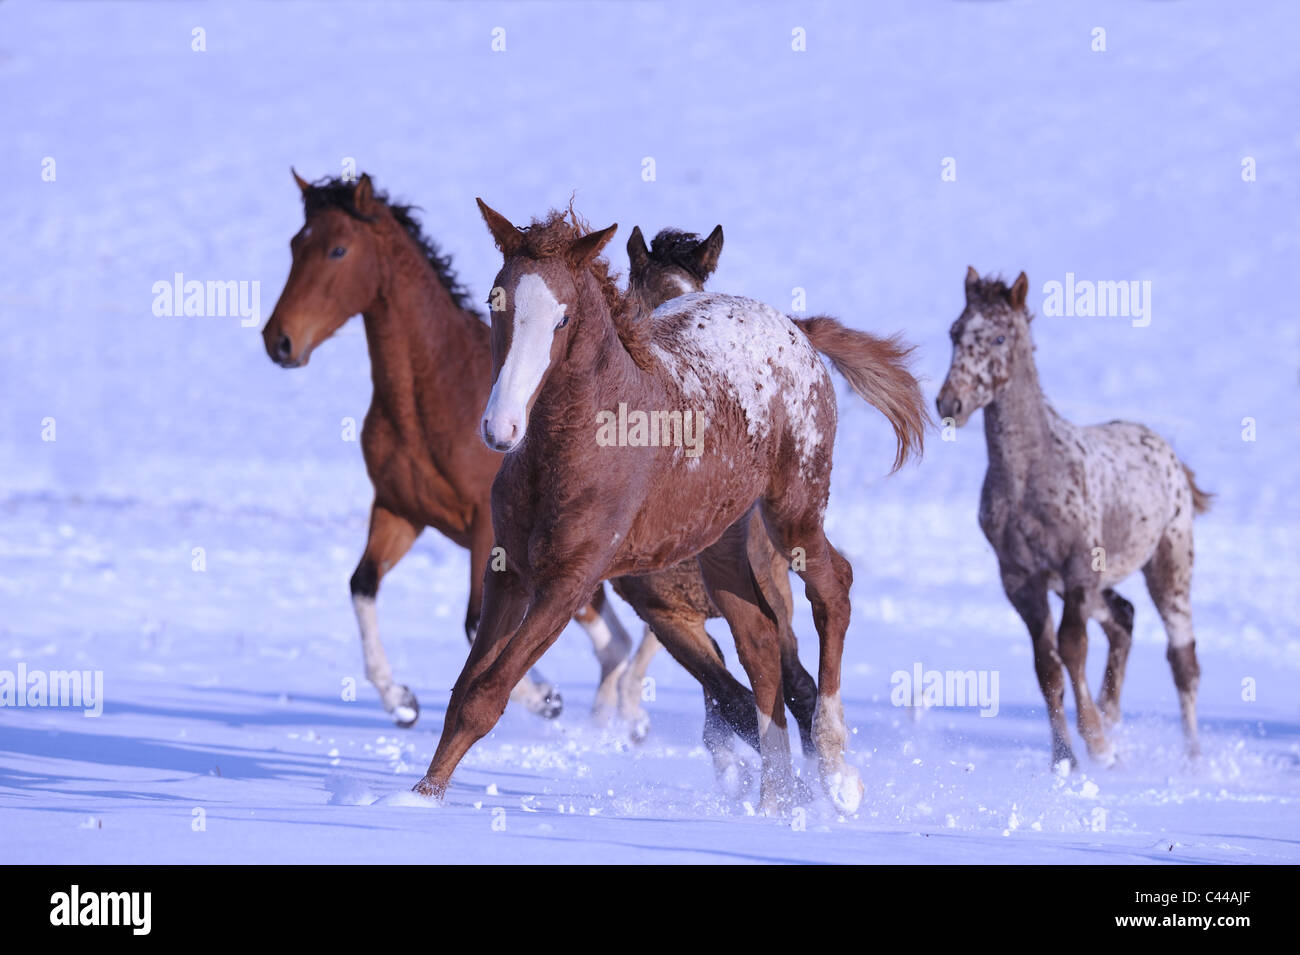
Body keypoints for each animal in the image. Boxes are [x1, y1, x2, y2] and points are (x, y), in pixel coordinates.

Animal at [260, 171, 635, 726]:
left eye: (338, 249)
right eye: (294, 245)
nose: (279, 341)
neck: (429, 400)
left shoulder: (484, 528)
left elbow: (475, 621)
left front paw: (543, 695)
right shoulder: (399, 511)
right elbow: (362, 585)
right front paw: (400, 699)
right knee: (615, 641)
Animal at [412, 201, 926, 812]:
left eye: (562, 320)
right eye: (496, 305)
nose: (501, 427)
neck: (581, 441)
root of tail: (793, 328)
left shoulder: (570, 582)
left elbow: (486, 696)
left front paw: (419, 802)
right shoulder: (509, 572)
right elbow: (464, 691)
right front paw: (422, 796)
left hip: (794, 509)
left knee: (833, 589)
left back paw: (835, 770)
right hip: (722, 546)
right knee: (759, 644)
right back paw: (777, 799)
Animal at [936, 268, 1210, 767]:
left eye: (1000, 336)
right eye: (954, 332)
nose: (950, 405)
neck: (1029, 478)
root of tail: (1168, 453)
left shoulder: (1078, 570)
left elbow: (1071, 648)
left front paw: (1098, 745)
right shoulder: (1022, 580)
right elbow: (1047, 665)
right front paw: (1065, 758)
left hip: (1169, 565)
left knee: (1183, 658)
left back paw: (1193, 757)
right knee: (1123, 618)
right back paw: (1112, 712)